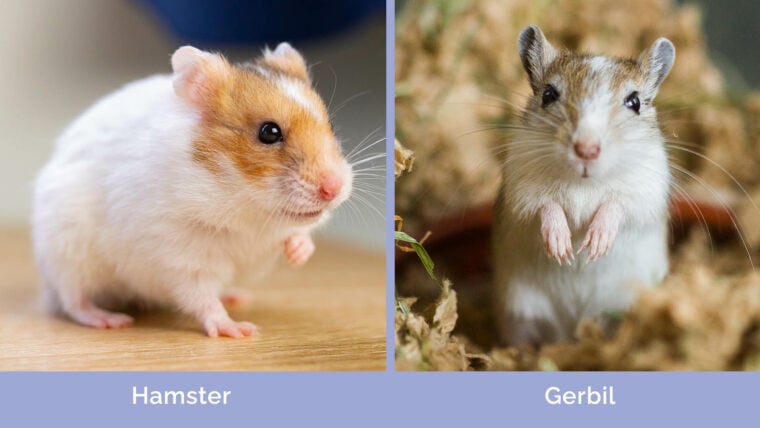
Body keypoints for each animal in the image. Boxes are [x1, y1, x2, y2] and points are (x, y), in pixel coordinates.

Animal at [32, 43, 353, 338]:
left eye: (331, 125)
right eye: (269, 132)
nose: (334, 188)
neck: (241, 206)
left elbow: (296, 233)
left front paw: (298, 252)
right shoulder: (178, 255)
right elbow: (200, 296)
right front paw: (239, 331)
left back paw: (237, 297)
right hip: (67, 253)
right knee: (73, 301)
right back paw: (111, 320)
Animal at [493, 26, 675, 345]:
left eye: (634, 102)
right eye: (549, 94)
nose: (586, 149)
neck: (584, 182)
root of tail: (569, 332)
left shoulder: (645, 190)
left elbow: (616, 206)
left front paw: (593, 247)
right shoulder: (521, 187)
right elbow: (546, 206)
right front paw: (562, 250)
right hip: (520, 312)